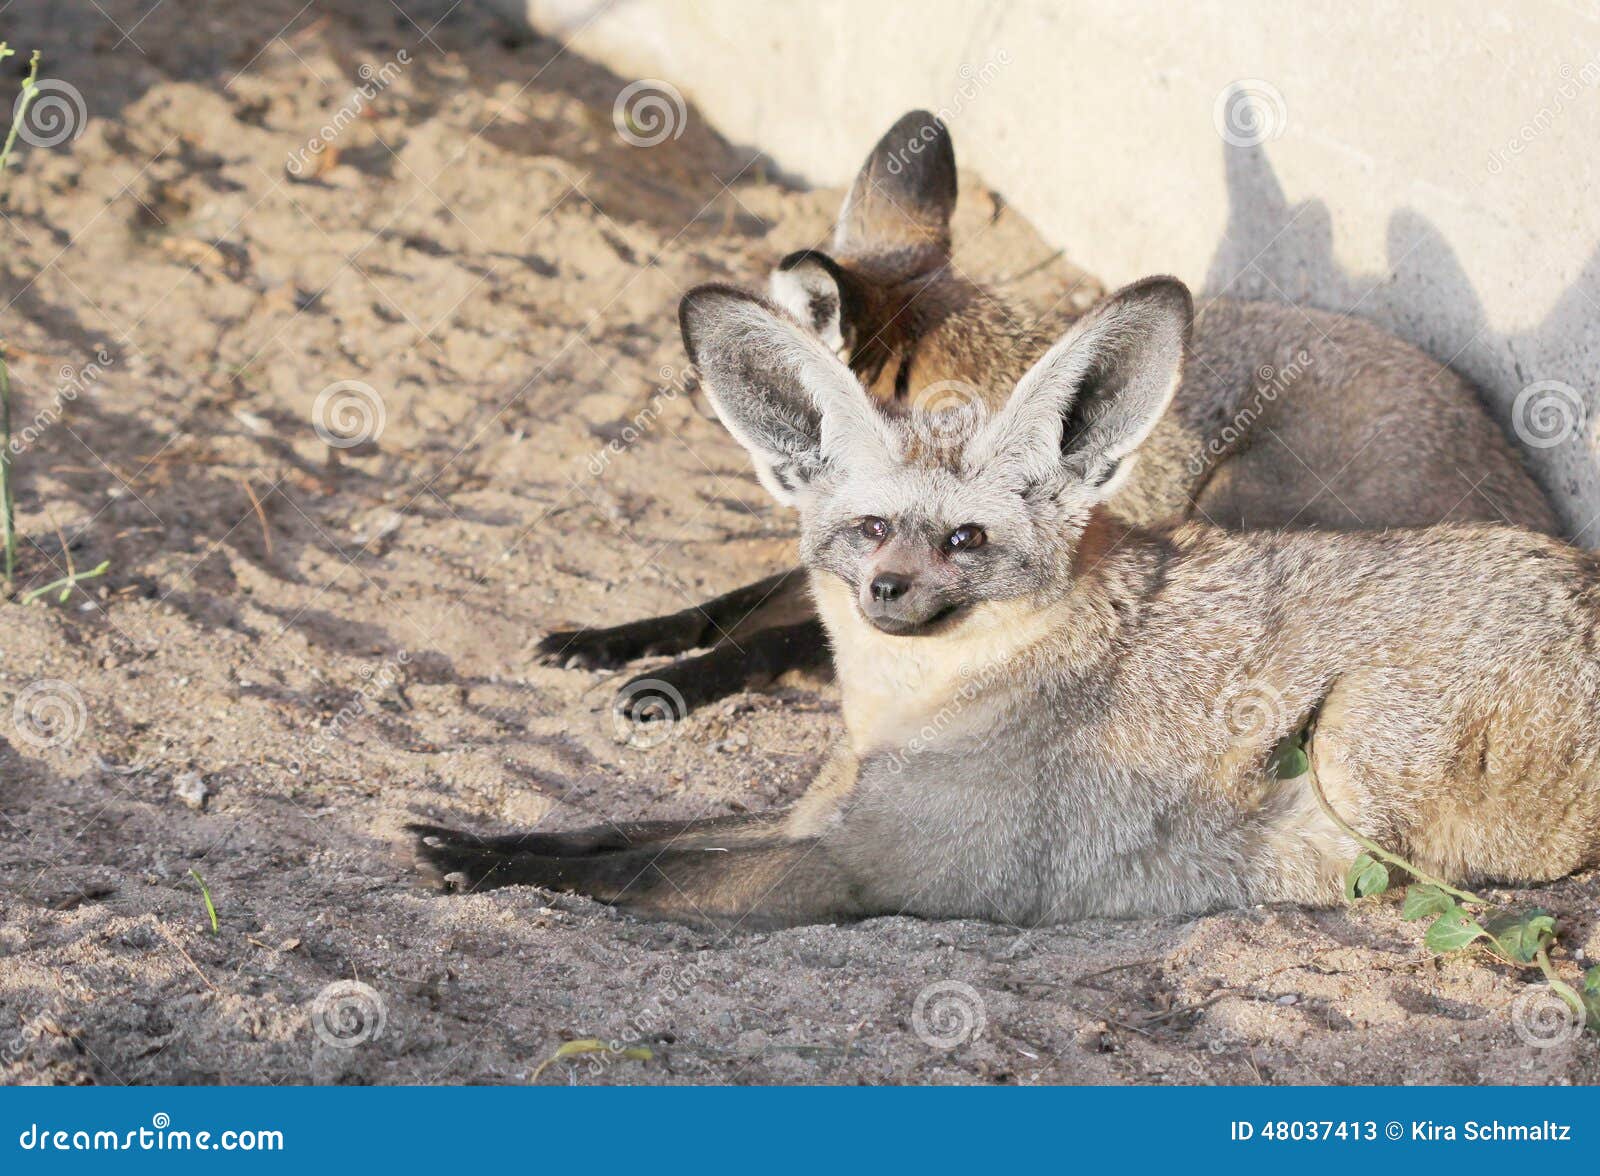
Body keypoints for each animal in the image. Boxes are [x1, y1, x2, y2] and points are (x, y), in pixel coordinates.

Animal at [411, 276, 1600, 931]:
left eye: (966, 540)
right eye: (868, 530)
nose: (888, 592)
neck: (900, 714)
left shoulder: (857, 869)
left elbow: (640, 867)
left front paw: (481, 866)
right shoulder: (813, 814)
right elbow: (614, 826)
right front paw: (487, 838)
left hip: (1349, 747)